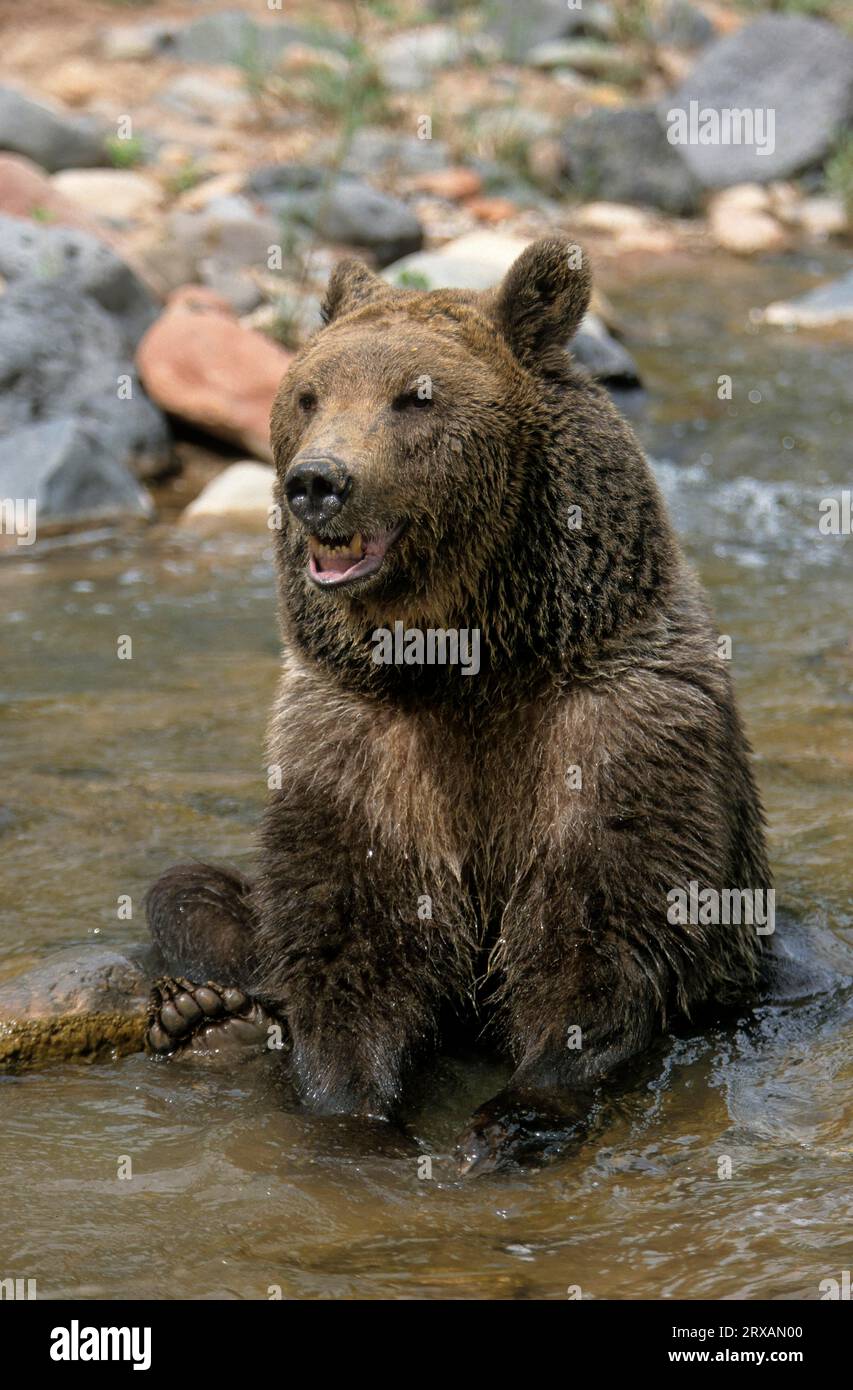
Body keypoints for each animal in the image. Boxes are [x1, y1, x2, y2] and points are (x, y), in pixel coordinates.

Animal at [145, 237, 771, 1175]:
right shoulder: (357, 738)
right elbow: (354, 930)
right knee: (189, 894)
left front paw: (516, 1115)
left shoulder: (620, 722)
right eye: (309, 392)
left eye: (416, 396)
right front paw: (355, 1111)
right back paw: (207, 1021)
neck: (467, 657)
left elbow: (603, 927)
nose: (317, 482)